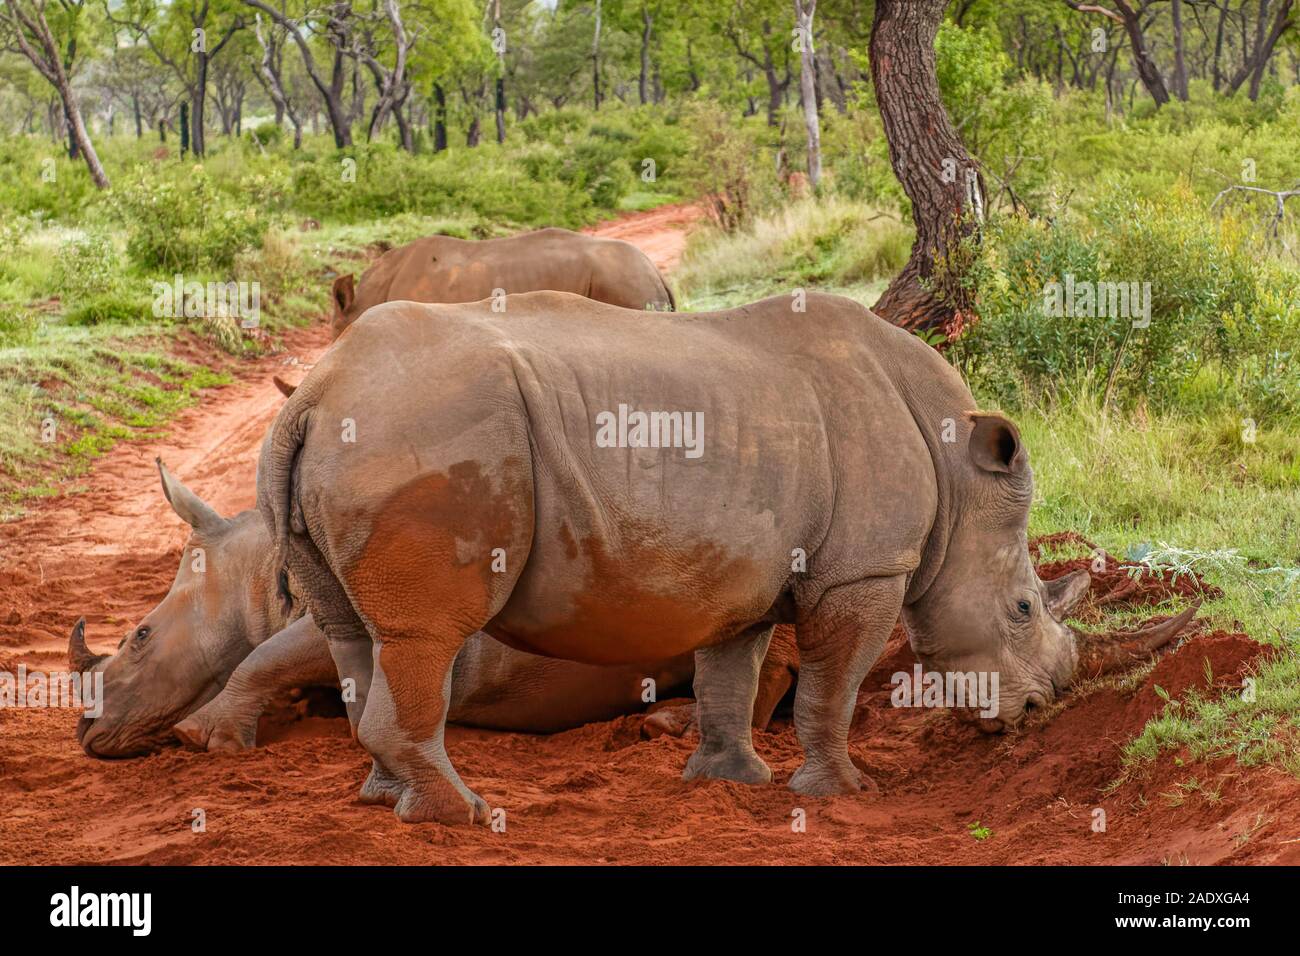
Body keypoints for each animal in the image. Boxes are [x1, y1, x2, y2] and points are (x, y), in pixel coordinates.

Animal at [70, 460, 795, 757]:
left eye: (139, 637)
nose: (84, 734)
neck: (269, 572)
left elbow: (265, 655)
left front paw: (201, 737)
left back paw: (672, 727)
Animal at [258, 290, 1196, 825]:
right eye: (1024, 610)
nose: (1037, 711)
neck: (959, 478)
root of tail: (315, 393)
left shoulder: (734, 570)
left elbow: (728, 676)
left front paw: (728, 780)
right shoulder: (866, 569)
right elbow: (832, 687)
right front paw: (843, 796)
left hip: (364, 435)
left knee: (354, 633)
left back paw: (387, 800)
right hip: (420, 434)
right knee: (425, 637)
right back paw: (463, 814)